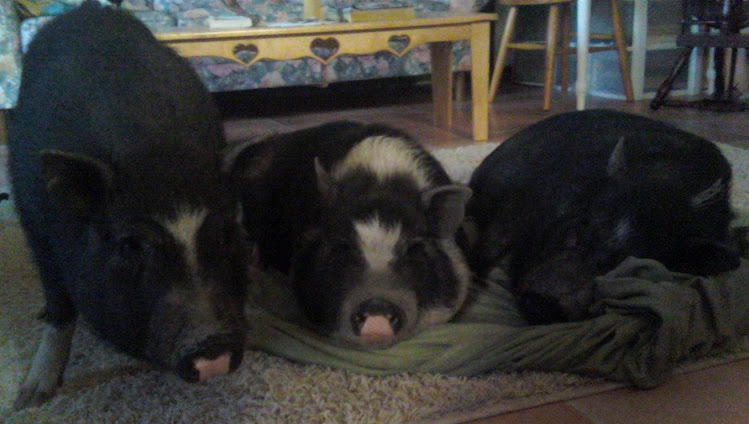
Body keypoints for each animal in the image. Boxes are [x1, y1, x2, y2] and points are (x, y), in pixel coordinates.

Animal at [8, 1, 250, 409]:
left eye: (227, 234)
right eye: (129, 244)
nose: (212, 345)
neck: (153, 149)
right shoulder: (34, 223)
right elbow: (59, 306)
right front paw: (32, 397)